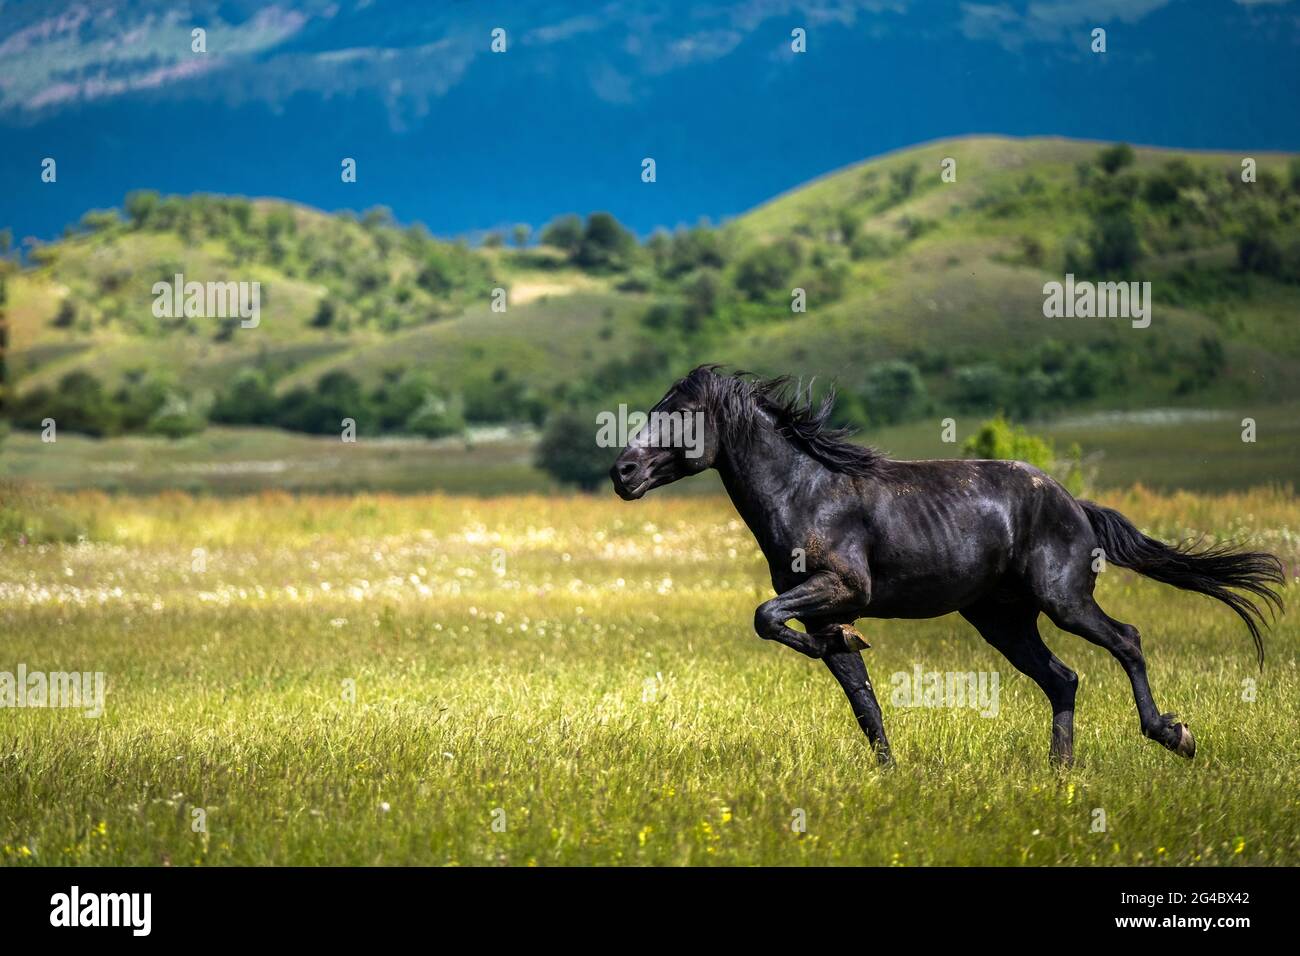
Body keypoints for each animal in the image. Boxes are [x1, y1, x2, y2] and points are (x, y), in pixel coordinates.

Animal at [609, 365, 1285, 766]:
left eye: (681, 413)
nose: (623, 472)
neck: (807, 492)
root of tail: (1075, 504)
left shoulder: (841, 587)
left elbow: (765, 617)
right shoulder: (825, 608)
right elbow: (857, 693)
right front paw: (885, 768)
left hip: (1064, 601)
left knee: (1127, 641)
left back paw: (1173, 735)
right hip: (1002, 620)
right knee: (1063, 678)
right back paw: (1060, 773)